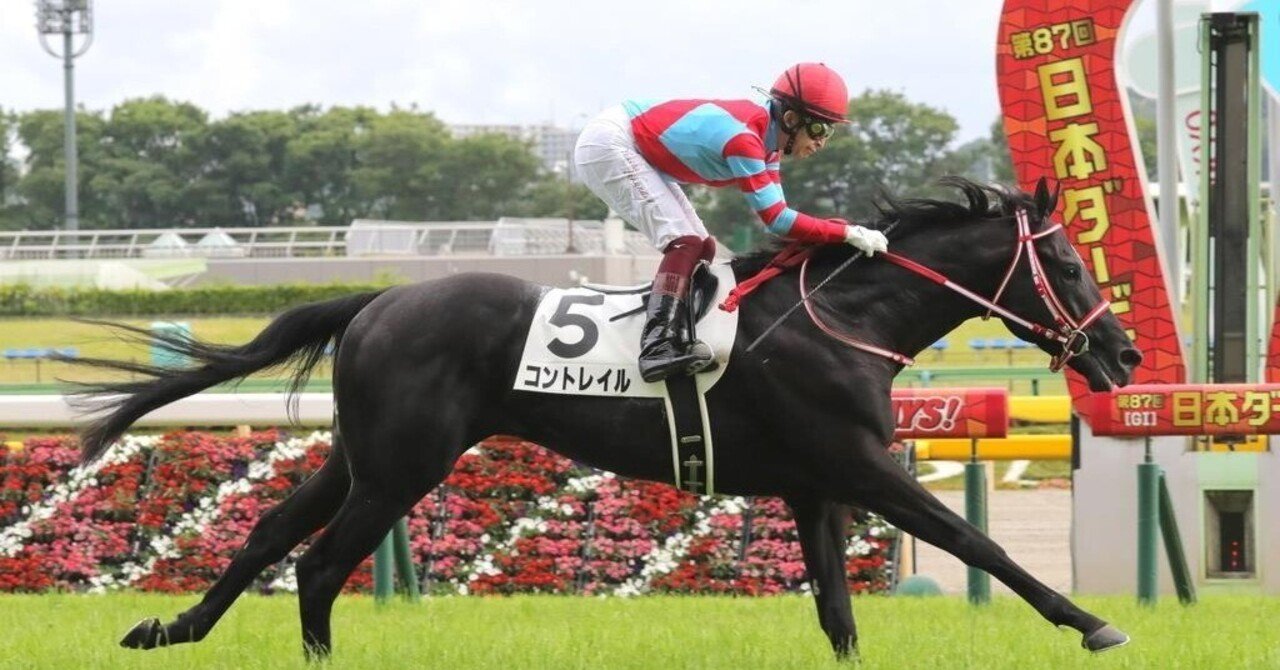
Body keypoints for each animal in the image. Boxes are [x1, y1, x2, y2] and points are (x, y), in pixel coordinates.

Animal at [70, 176, 1140, 660]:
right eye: (1070, 262)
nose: (1125, 355)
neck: (844, 320)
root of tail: (376, 300)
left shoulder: (815, 487)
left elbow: (838, 608)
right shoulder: (863, 466)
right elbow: (978, 546)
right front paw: (1094, 623)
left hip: (362, 454)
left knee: (269, 534)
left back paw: (168, 627)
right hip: (405, 466)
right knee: (324, 563)